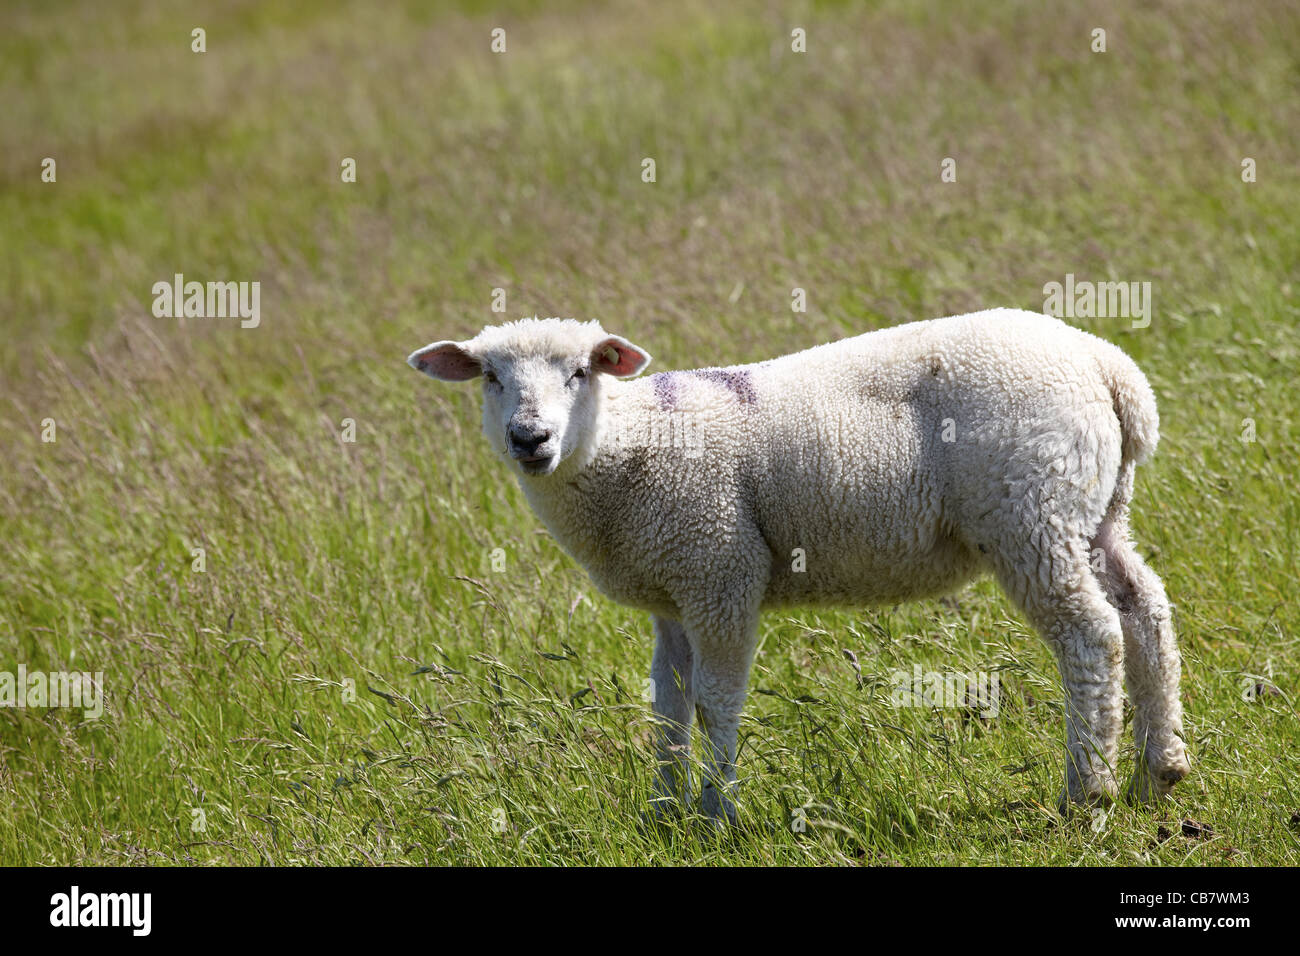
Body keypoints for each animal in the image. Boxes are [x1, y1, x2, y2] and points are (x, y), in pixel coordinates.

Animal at [407, 308, 1190, 824]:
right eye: (489, 377)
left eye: (579, 373)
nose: (529, 439)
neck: (628, 447)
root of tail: (1111, 371)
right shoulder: (672, 596)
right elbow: (667, 706)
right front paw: (662, 814)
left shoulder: (719, 570)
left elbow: (714, 701)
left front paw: (716, 814)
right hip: (1093, 510)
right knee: (1143, 609)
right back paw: (1160, 768)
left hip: (1031, 511)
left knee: (1092, 636)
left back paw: (1087, 789)